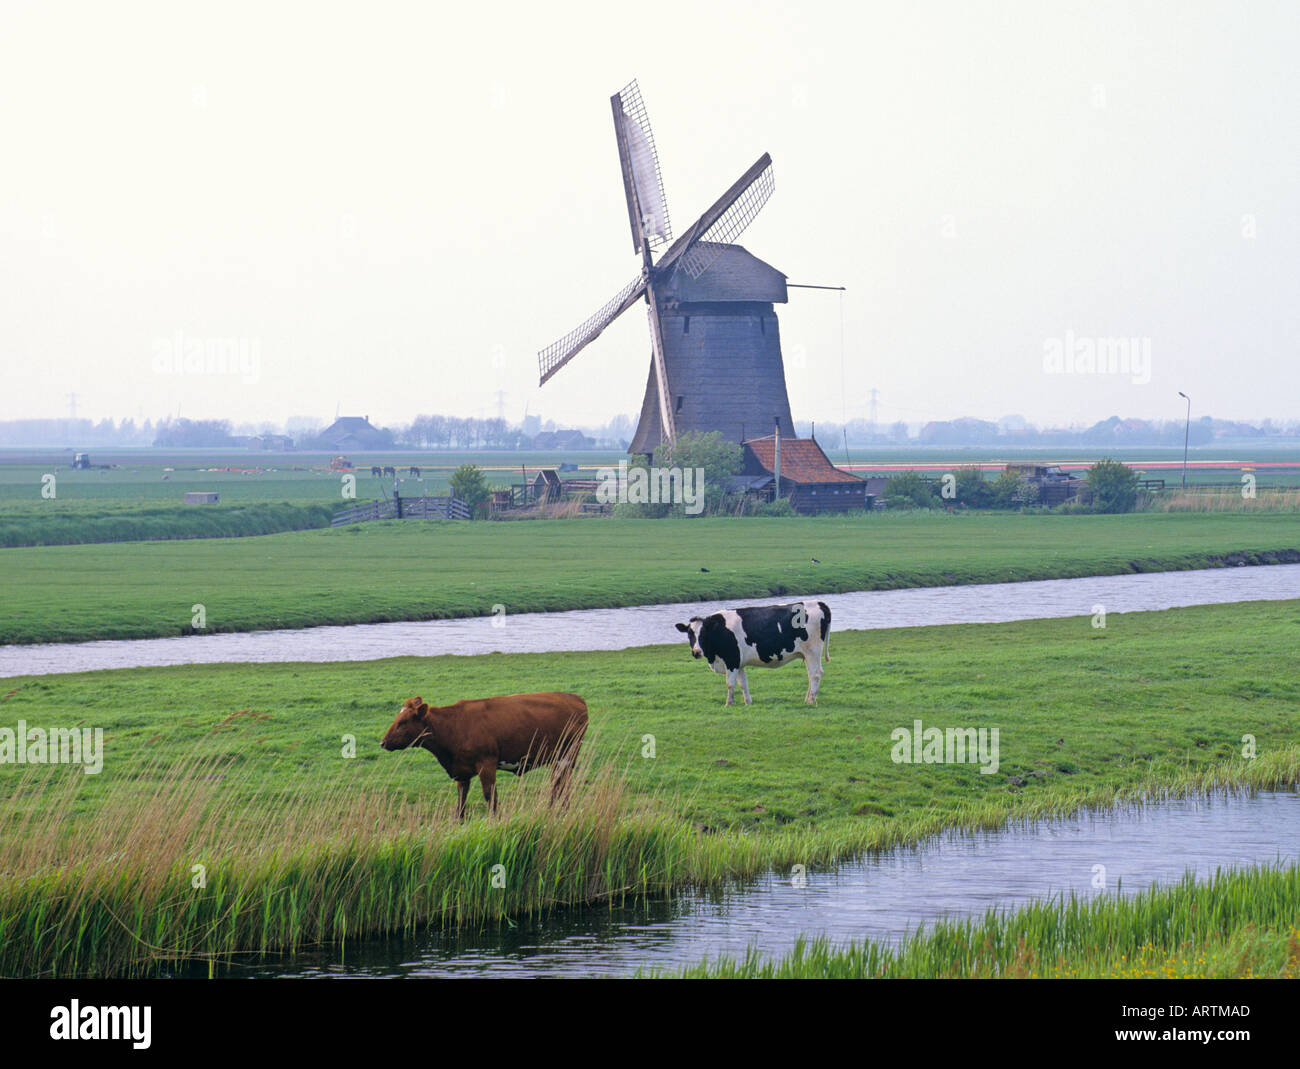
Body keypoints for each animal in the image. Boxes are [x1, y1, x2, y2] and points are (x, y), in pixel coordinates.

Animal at [380, 692, 588, 819]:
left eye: (403, 722)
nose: (383, 742)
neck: (455, 725)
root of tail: (575, 698)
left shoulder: (486, 764)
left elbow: (490, 796)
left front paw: (495, 820)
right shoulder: (462, 771)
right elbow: (461, 799)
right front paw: (459, 822)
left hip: (566, 756)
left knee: (561, 785)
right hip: (559, 759)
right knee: (559, 785)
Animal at [675, 601, 831, 706]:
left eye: (704, 634)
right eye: (689, 634)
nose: (696, 652)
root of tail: (818, 603)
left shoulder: (731, 660)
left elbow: (730, 683)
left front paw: (728, 703)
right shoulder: (739, 663)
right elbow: (743, 683)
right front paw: (748, 702)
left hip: (812, 651)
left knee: (816, 674)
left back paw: (811, 700)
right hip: (806, 654)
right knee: (811, 675)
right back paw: (808, 698)